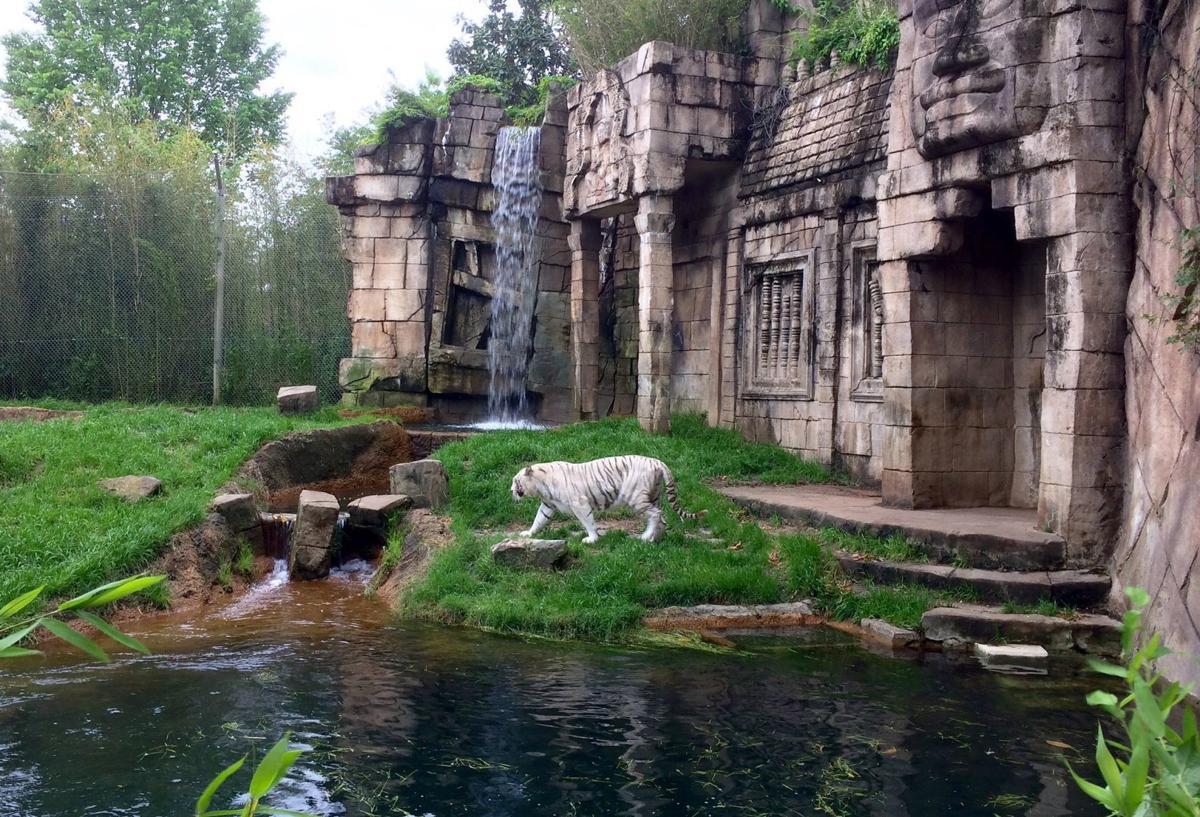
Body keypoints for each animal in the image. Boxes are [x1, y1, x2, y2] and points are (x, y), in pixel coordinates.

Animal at [510, 455, 702, 544]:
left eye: (515, 481)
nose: (511, 491)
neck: (541, 486)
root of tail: (658, 462)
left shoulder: (579, 503)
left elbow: (588, 522)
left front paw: (592, 539)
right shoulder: (548, 505)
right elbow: (539, 520)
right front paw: (528, 534)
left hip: (636, 497)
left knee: (656, 514)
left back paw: (645, 537)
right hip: (654, 495)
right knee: (662, 517)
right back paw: (655, 539)